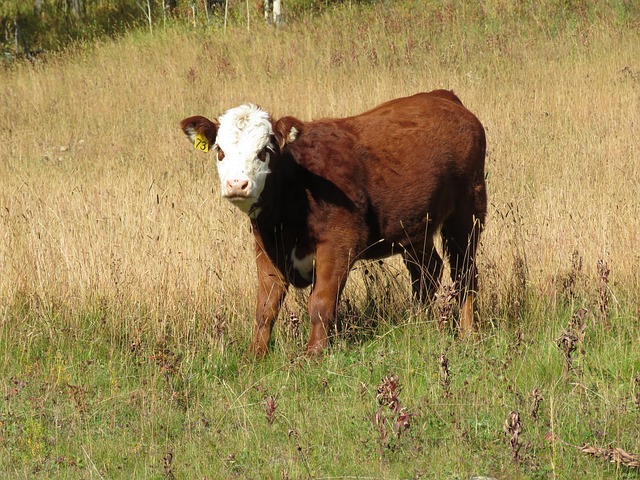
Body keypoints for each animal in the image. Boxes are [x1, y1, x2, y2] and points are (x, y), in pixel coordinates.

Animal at [180, 90, 487, 356]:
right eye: (220, 150)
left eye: (264, 151)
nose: (237, 184)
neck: (296, 187)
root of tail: (443, 96)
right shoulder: (268, 248)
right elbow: (265, 309)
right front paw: (255, 355)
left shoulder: (339, 243)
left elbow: (321, 303)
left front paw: (313, 354)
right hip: (414, 227)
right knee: (427, 272)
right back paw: (420, 324)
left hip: (467, 213)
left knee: (464, 273)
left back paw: (468, 333)